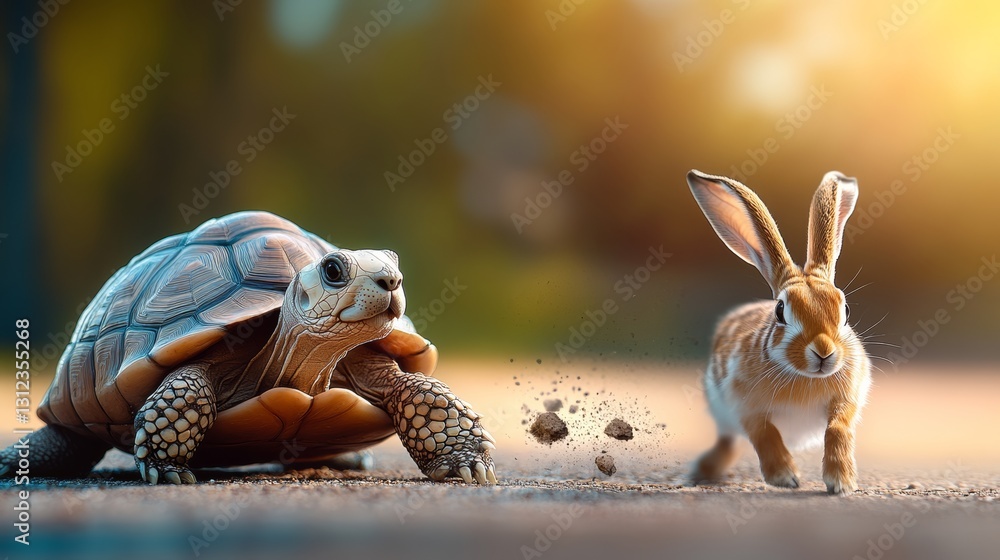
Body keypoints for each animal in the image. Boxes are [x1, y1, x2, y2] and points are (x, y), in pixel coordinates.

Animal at [685, 169, 872, 495]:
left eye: (846, 311)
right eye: (781, 311)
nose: (824, 351)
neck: (805, 377)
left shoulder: (846, 400)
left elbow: (838, 428)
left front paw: (841, 482)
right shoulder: (746, 407)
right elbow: (765, 433)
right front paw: (785, 478)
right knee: (728, 442)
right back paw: (702, 472)